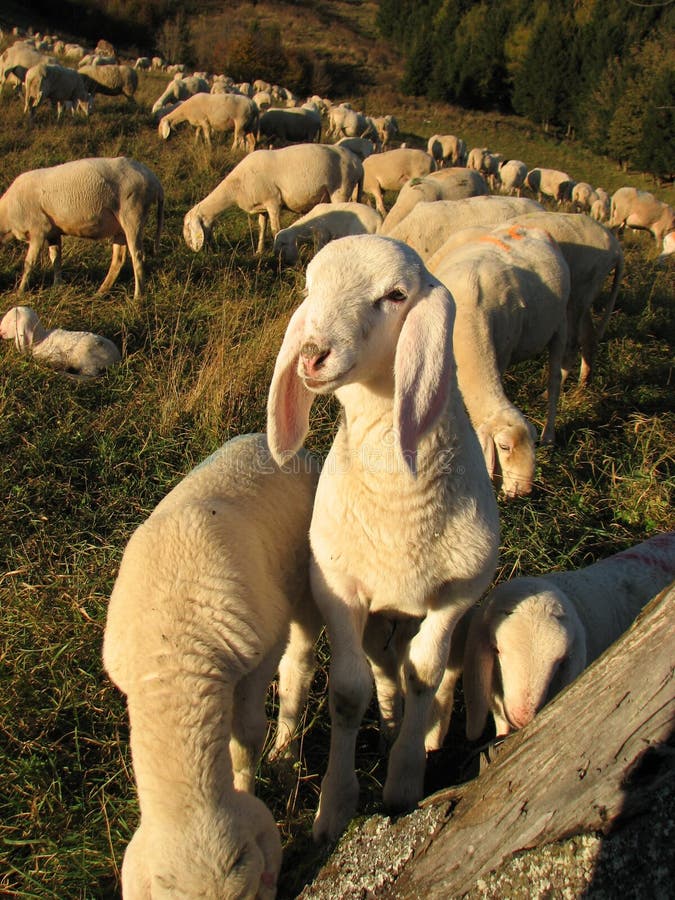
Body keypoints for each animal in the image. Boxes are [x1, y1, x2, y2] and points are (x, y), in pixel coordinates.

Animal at [0, 156, 164, 298]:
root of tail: (154, 180)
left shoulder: (39, 230)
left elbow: (29, 263)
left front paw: (20, 292)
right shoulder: (53, 232)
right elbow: (56, 258)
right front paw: (57, 287)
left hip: (133, 213)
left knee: (138, 256)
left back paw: (138, 298)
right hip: (120, 226)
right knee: (119, 259)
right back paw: (100, 292)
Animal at [183, 144, 363, 256]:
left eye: (187, 227)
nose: (192, 250)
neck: (236, 186)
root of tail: (358, 164)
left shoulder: (273, 202)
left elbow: (275, 229)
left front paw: (274, 252)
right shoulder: (262, 207)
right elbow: (262, 227)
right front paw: (259, 251)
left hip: (341, 189)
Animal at [267, 234, 500, 842]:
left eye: (395, 295)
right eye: (310, 288)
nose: (311, 354)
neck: (399, 504)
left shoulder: (458, 592)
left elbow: (425, 674)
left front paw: (403, 781)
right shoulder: (339, 589)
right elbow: (349, 693)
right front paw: (334, 807)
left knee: (422, 673)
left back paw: (414, 734)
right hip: (371, 618)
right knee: (374, 671)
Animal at [429, 224, 570, 496]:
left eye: (532, 445)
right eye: (504, 447)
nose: (523, 491)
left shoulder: (503, 350)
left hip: (561, 324)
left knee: (555, 380)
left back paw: (550, 435)